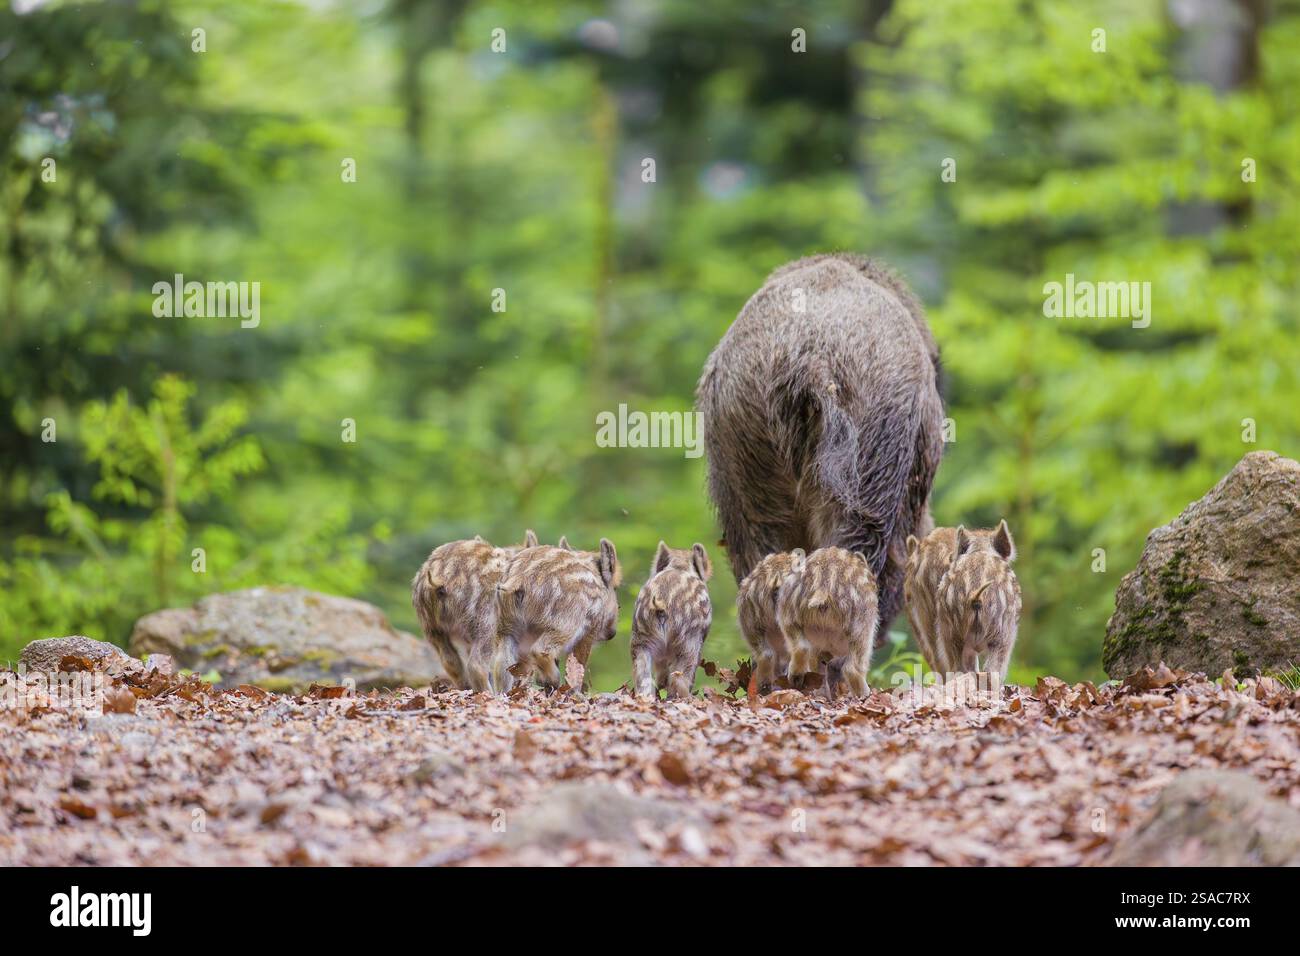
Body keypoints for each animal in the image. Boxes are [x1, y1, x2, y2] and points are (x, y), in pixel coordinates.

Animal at [490, 539, 622, 693]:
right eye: (615, 588)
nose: (612, 633)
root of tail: (518, 579)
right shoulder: (589, 630)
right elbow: (579, 663)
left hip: (506, 628)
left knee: (502, 666)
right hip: (565, 623)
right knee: (540, 650)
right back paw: (552, 680)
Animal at [630, 542, 713, 699]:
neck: (679, 566)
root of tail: (661, 605)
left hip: (640, 641)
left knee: (644, 679)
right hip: (688, 644)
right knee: (678, 677)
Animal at [776, 546, 879, 697]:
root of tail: (823, 588)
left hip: (787, 610)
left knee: (802, 648)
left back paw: (796, 678)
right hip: (862, 625)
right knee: (851, 668)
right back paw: (865, 694)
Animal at [935, 528, 1021, 681]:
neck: (981, 549)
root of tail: (976, 597)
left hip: (951, 634)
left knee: (959, 670)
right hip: (1002, 634)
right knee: (992, 670)